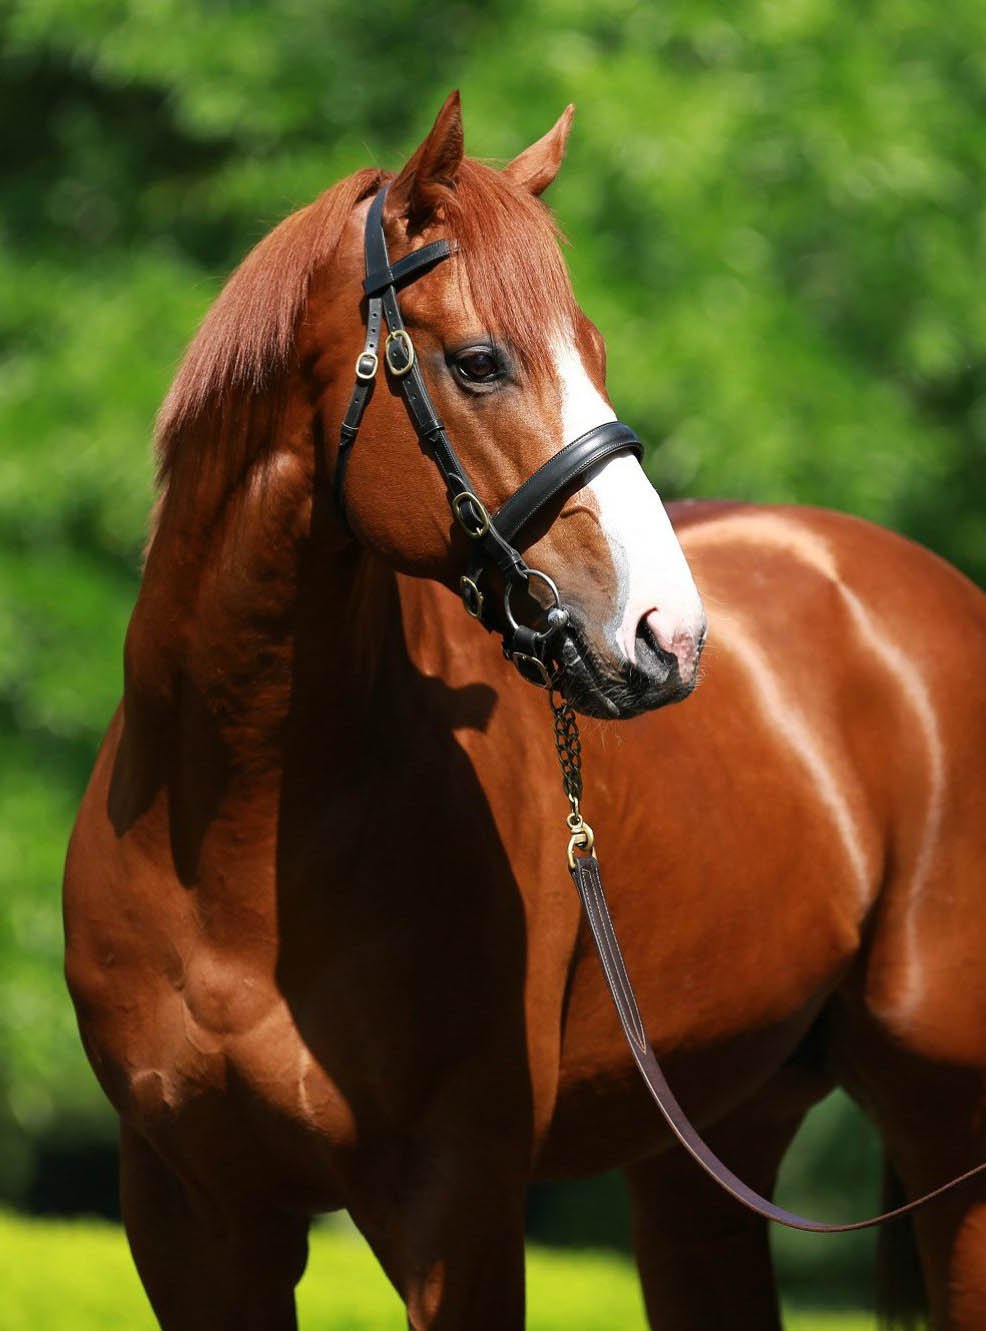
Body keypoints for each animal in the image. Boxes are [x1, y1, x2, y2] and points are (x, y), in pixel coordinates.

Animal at [63, 90, 986, 1330]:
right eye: (479, 361)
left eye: (590, 350)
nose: (664, 634)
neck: (230, 836)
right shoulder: (191, 1220)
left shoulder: (456, 1204)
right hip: (705, 1144)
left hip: (946, 1134)